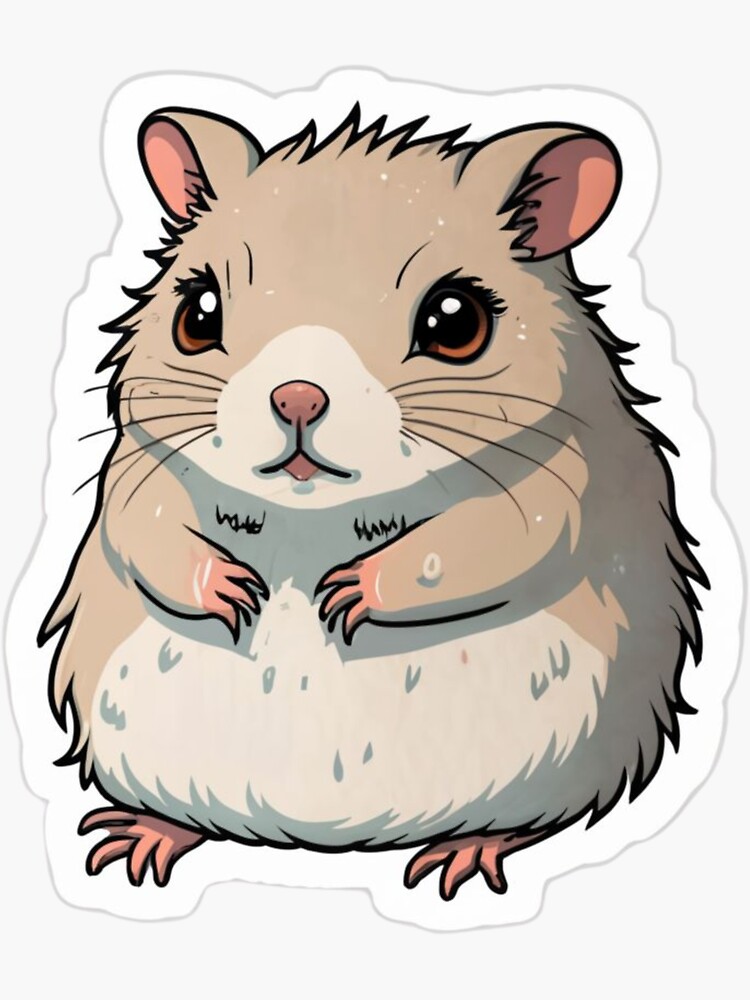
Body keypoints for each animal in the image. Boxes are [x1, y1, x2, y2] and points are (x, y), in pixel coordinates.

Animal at [38, 104, 706, 900]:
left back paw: (470, 849)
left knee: (527, 818)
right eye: (197, 314)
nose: (296, 397)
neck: (310, 516)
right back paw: (148, 834)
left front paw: (354, 591)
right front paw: (230, 588)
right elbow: (146, 531)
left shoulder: (561, 474)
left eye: (456, 322)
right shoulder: (143, 465)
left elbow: (492, 544)